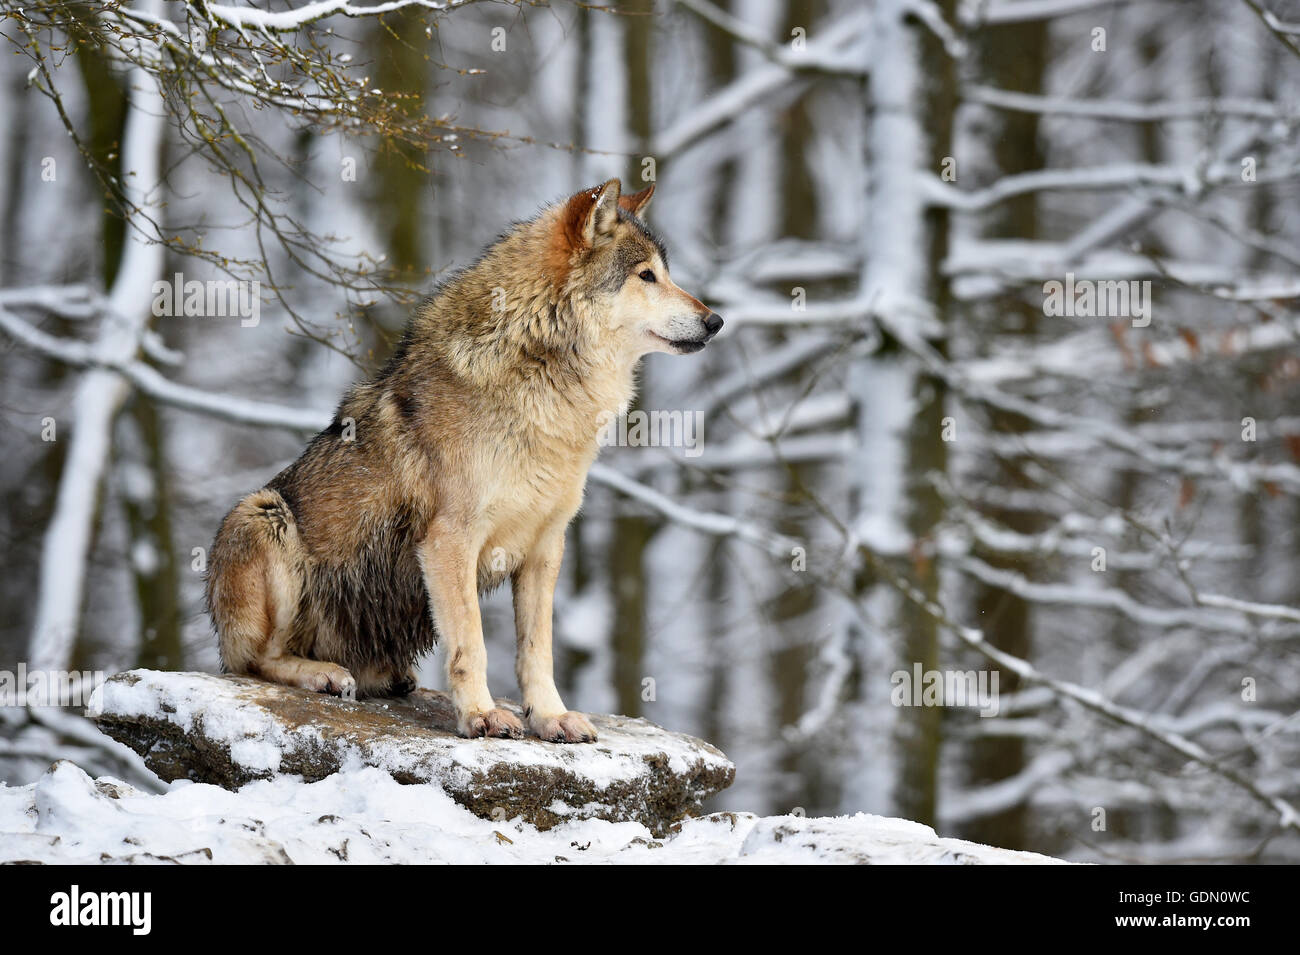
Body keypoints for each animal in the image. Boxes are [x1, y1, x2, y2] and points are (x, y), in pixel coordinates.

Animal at [206, 179, 721, 742]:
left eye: (666, 273)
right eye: (646, 275)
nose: (716, 321)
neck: (543, 381)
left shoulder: (546, 546)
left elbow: (537, 651)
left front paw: (551, 717)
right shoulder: (449, 541)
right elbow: (470, 644)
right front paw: (481, 715)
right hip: (261, 514)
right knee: (256, 661)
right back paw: (325, 674)